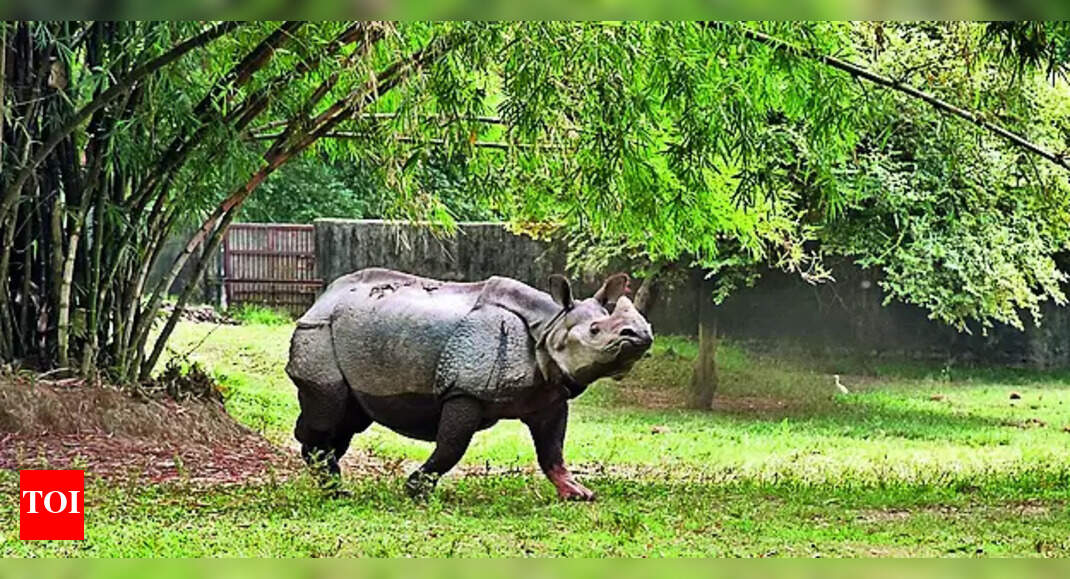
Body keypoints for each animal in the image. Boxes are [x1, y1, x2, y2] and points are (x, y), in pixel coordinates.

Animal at [286, 267, 653, 500]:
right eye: (595, 330)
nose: (642, 335)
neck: (550, 325)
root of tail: (320, 299)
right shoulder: (465, 391)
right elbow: (452, 446)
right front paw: (415, 491)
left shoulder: (549, 393)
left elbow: (553, 449)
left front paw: (578, 494)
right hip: (318, 332)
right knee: (329, 409)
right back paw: (336, 491)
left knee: (349, 420)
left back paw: (332, 484)